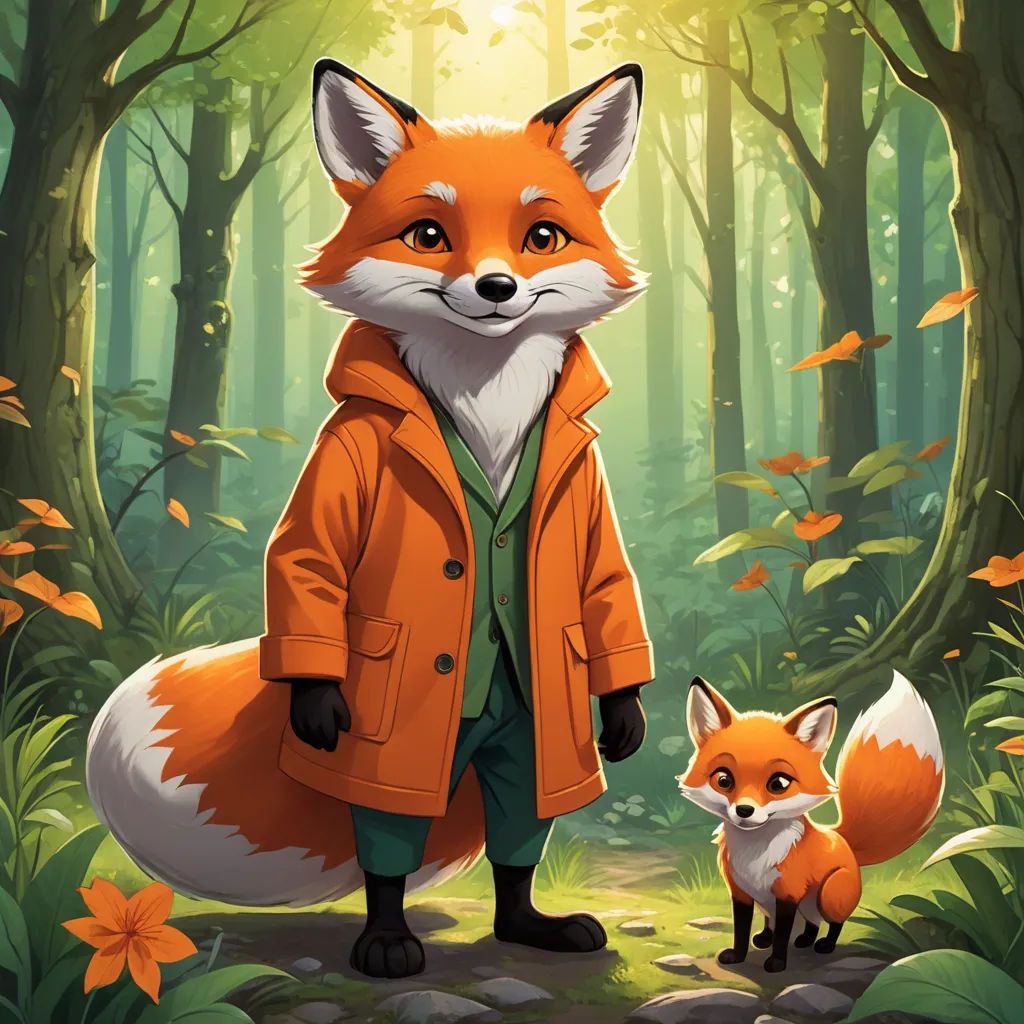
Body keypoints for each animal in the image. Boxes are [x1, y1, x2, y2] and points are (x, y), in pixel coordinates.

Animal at [87, 58, 654, 979]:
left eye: (541, 238)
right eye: (428, 235)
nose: (497, 288)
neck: (488, 408)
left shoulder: (584, 499)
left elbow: (606, 591)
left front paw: (627, 714)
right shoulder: (342, 459)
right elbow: (308, 561)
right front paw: (317, 707)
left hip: (529, 730)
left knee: (519, 822)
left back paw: (526, 923)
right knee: (389, 835)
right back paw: (387, 938)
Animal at [677, 671, 944, 973]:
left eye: (778, 783)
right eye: (723, 780)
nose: (744, 810)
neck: (755, 855)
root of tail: (842, 837)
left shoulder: (788, 894)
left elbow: (783, 934)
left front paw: (777, 963)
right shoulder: (741, 893)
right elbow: (742, 931)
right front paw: (737, 956)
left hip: (829, 894)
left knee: (833, 922)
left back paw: (823, 945)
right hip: (787, 902)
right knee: (805, 922)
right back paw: (786, 938)